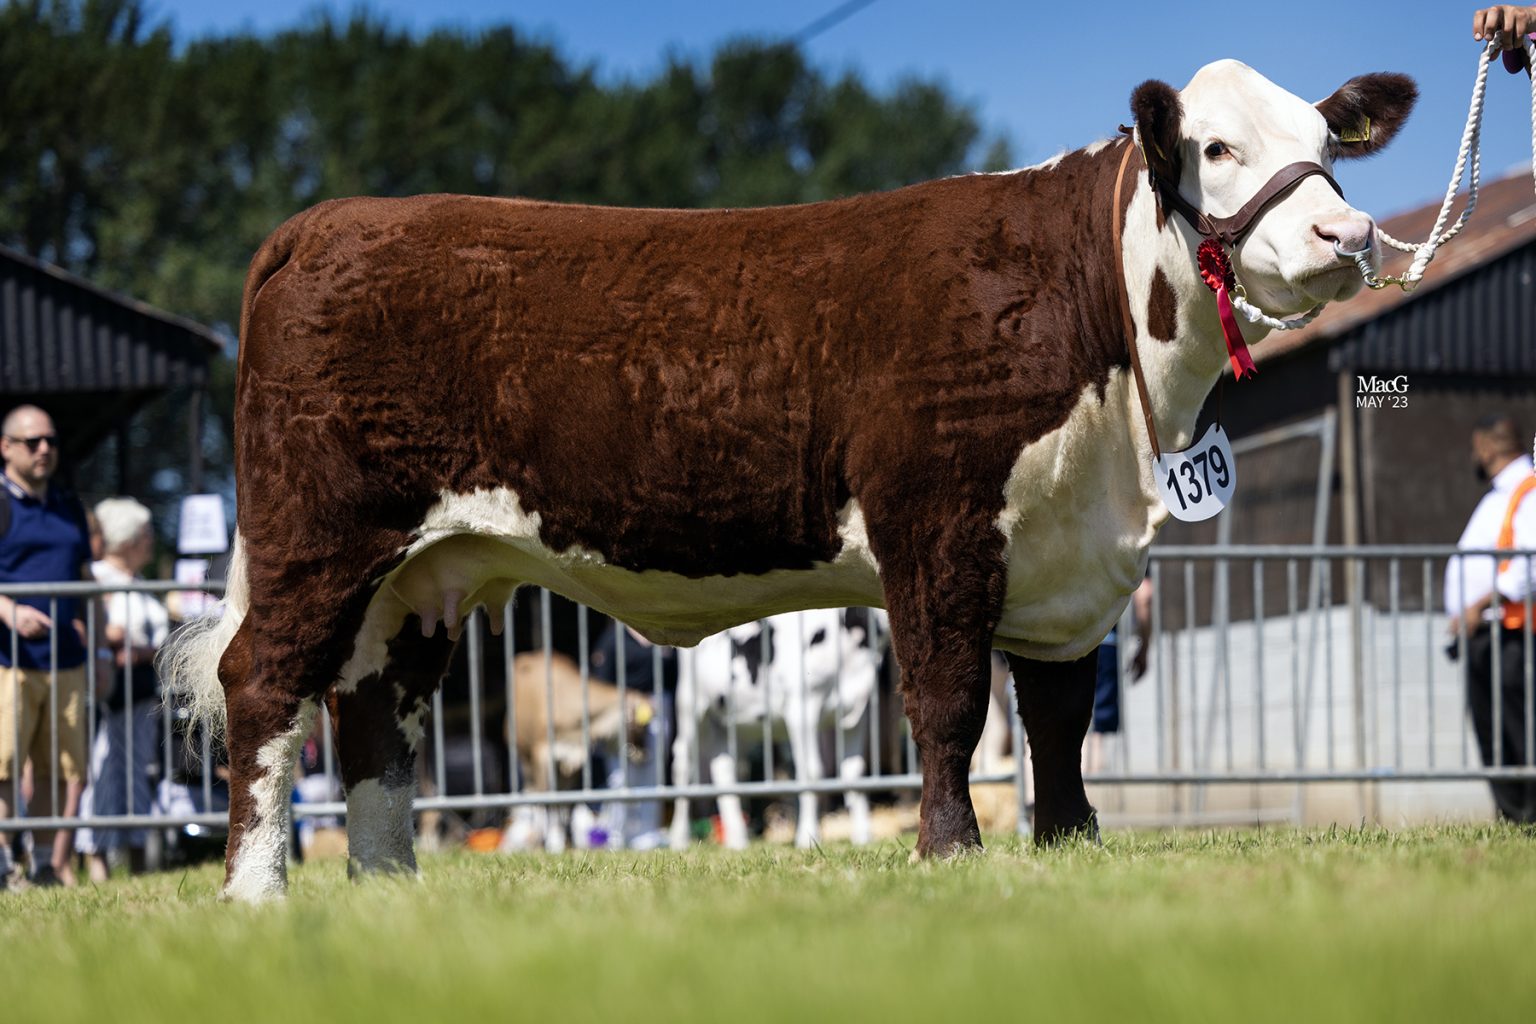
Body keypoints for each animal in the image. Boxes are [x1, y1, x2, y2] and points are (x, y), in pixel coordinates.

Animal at [668, 608, 887, 850]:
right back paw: (679, 838)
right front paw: (808, 837)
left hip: (728, 722)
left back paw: (737, 839)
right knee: (682, 764)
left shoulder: (858, 714)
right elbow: (812, 772)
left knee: (724, 767)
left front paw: (863, 837)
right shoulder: (802, 708)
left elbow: (854, 773)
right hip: (691, 706)